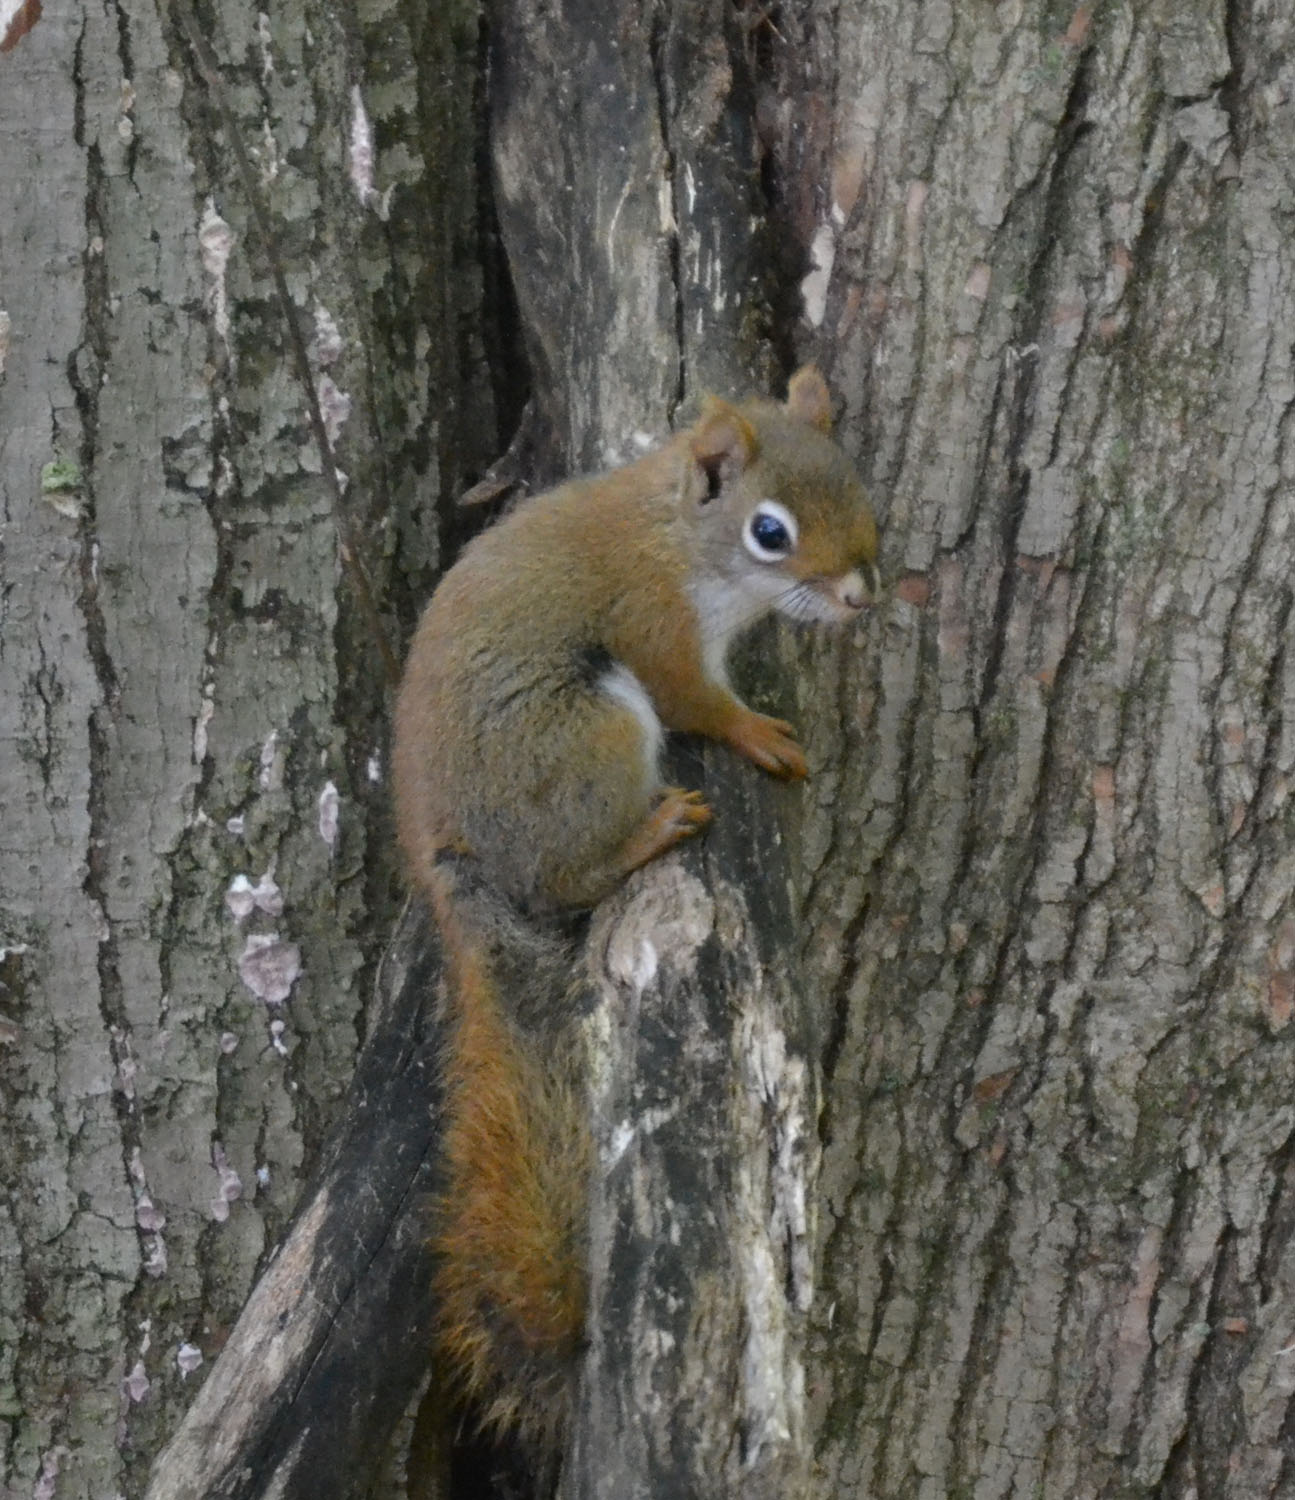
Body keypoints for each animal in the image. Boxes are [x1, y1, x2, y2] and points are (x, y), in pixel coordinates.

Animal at [392, 365, 880, 1469]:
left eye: (856, 484)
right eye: (771, 532)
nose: (859, 597)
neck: (679, 537)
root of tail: (450, 868)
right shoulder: (654, 626)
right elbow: (694, 700)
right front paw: (756, 733)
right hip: (588, 734)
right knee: (573, 875)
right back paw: (650, 833)